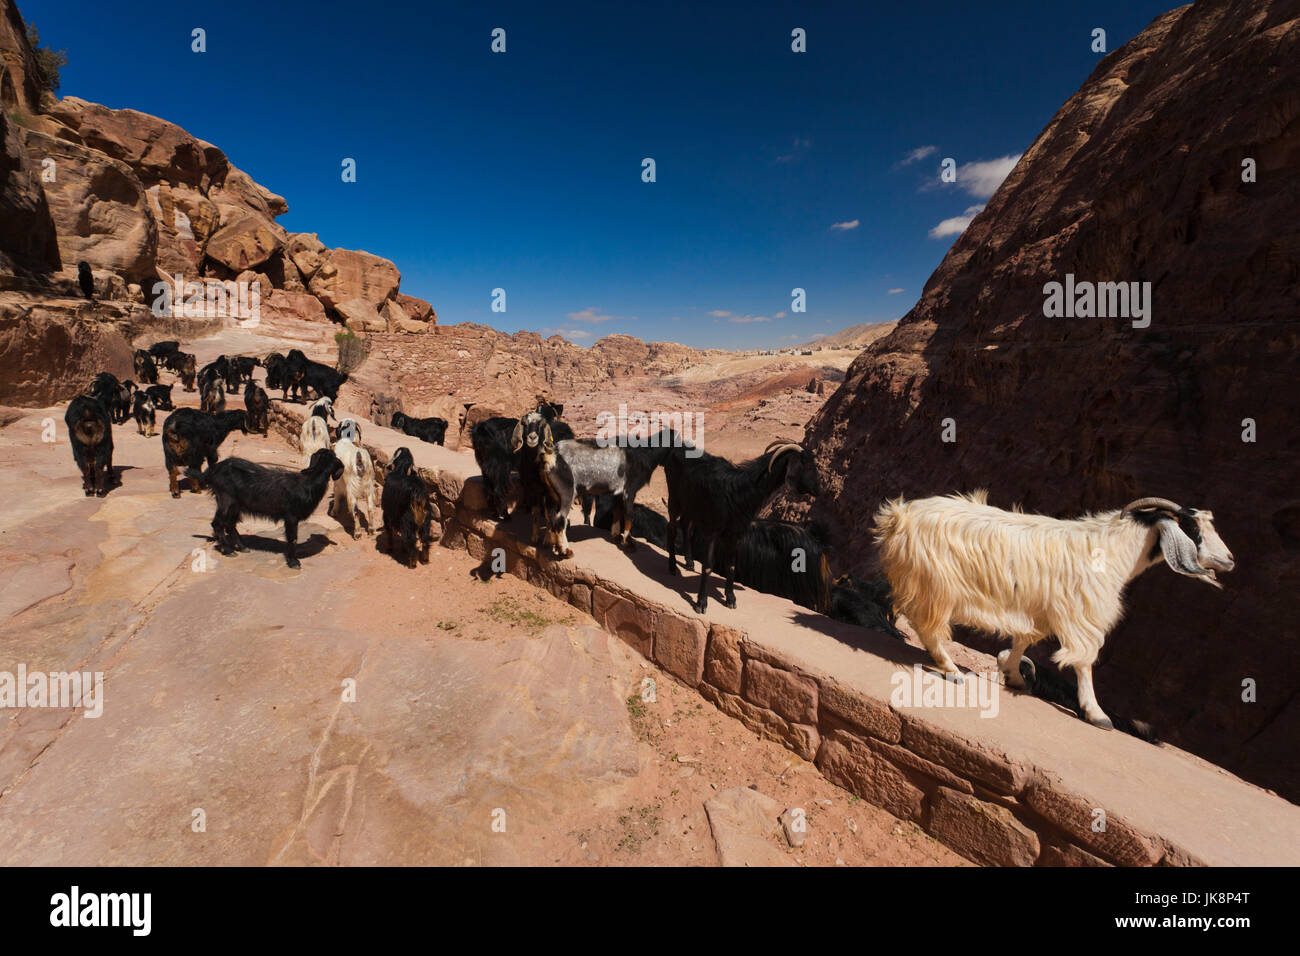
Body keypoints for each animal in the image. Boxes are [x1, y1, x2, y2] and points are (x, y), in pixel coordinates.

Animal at [186, 449, 343, 569]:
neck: (308, 483)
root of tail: (211, 472)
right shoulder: (291, 517)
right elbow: (292, 538)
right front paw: (293, 562)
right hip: (226, 500)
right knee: (217, 524)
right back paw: (228, 550)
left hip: (236, 505)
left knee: (230, 524)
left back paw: (242, 547)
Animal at [665, 440, 821, 612]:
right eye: (806, 465)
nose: (818, 490)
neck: (740, 490)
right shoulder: (713, 531)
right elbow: (708, 566)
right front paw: (701, 603)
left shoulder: (735, 534)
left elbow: (732, 566)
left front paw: (731, 599)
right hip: (675, 499)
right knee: (672, 529)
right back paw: (672, 567)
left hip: (692, 506)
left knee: (686, 526)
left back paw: (689, 563)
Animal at [872, 492, 1235, 729]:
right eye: (1192, 529)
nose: (1230, 560)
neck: (1114, 549)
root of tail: (898, 517)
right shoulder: (1083, 614)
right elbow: (1085, 661)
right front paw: (1097, 713)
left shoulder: (1038, 609)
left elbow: (1022, 641)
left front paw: (1014, 675)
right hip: (937, 584)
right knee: (930, 628)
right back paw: (951, 670)